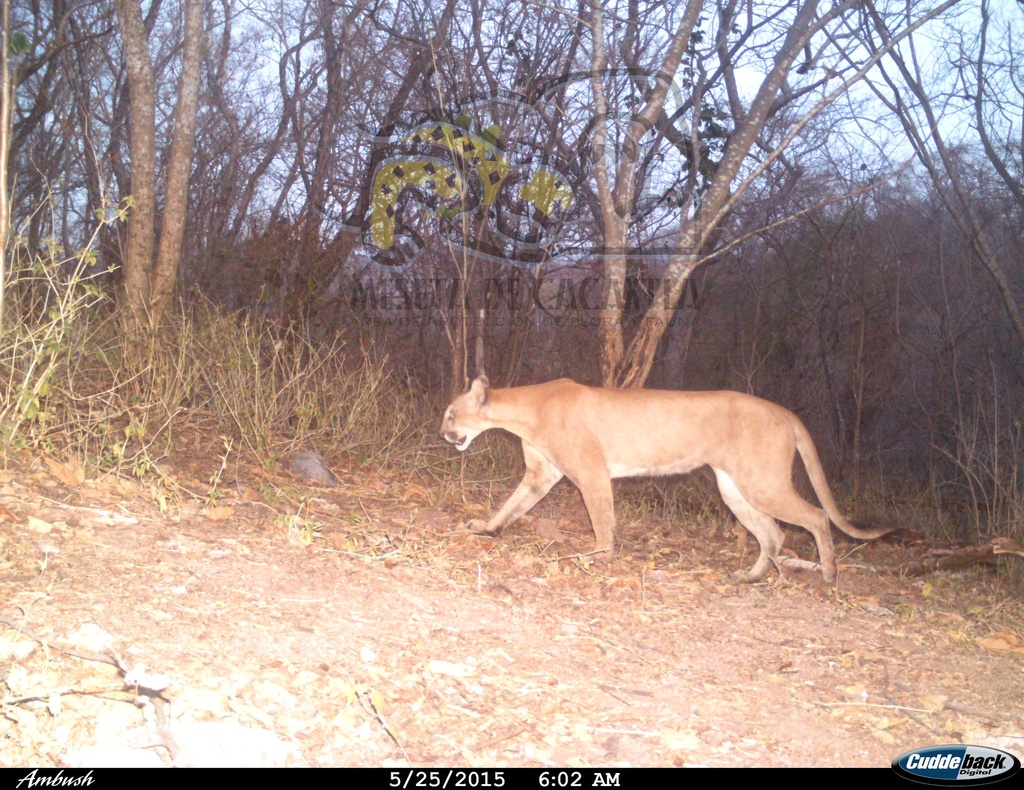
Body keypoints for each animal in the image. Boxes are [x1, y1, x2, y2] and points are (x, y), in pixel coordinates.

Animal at [441, 376, 890, 582]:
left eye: (450, 413)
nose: (441, 432)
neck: (522, 411)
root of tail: (786, 412)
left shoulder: (591, 472)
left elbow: (601, 518)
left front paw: (598, 555)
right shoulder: (541, 474)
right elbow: (512, 505)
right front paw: (486, 528)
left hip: (763, 482)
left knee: (815, 517)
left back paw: (829, 575)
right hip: (734, 488)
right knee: (773, 533)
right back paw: (750, 576)